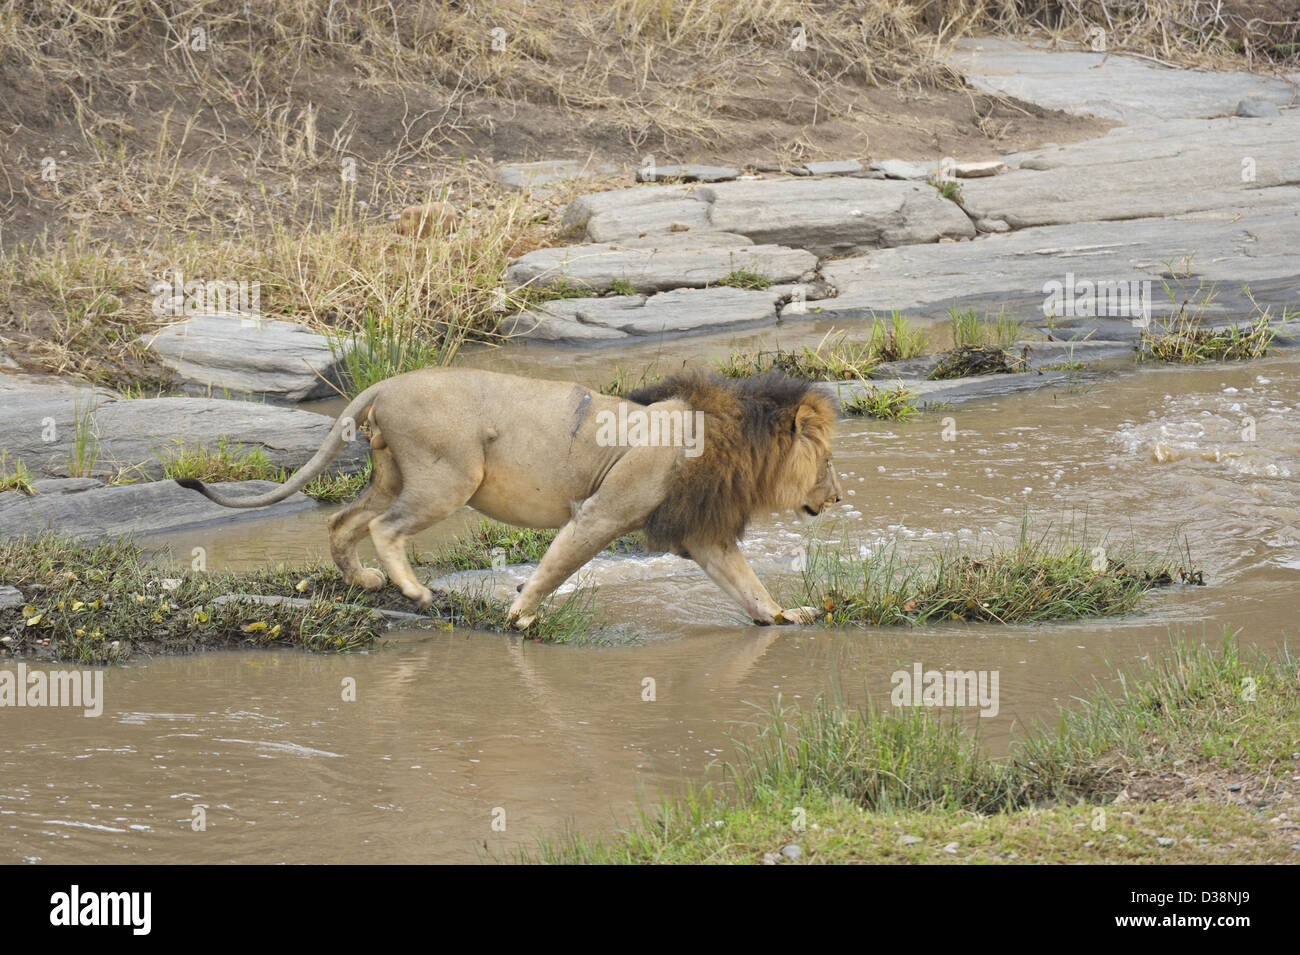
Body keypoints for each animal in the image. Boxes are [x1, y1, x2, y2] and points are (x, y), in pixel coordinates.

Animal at [175, 367, 842, 628]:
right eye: (829, 461)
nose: (836, 498)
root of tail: (387, 382)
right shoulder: (604, 511)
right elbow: (559, 561)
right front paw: (522, 612)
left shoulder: (702, 534)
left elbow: (746, 583)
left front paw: (786, 616)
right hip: (449, 478)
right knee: (386, 529)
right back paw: (415, 592)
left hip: (393, 477)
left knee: (344, 521)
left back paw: (363, 582)